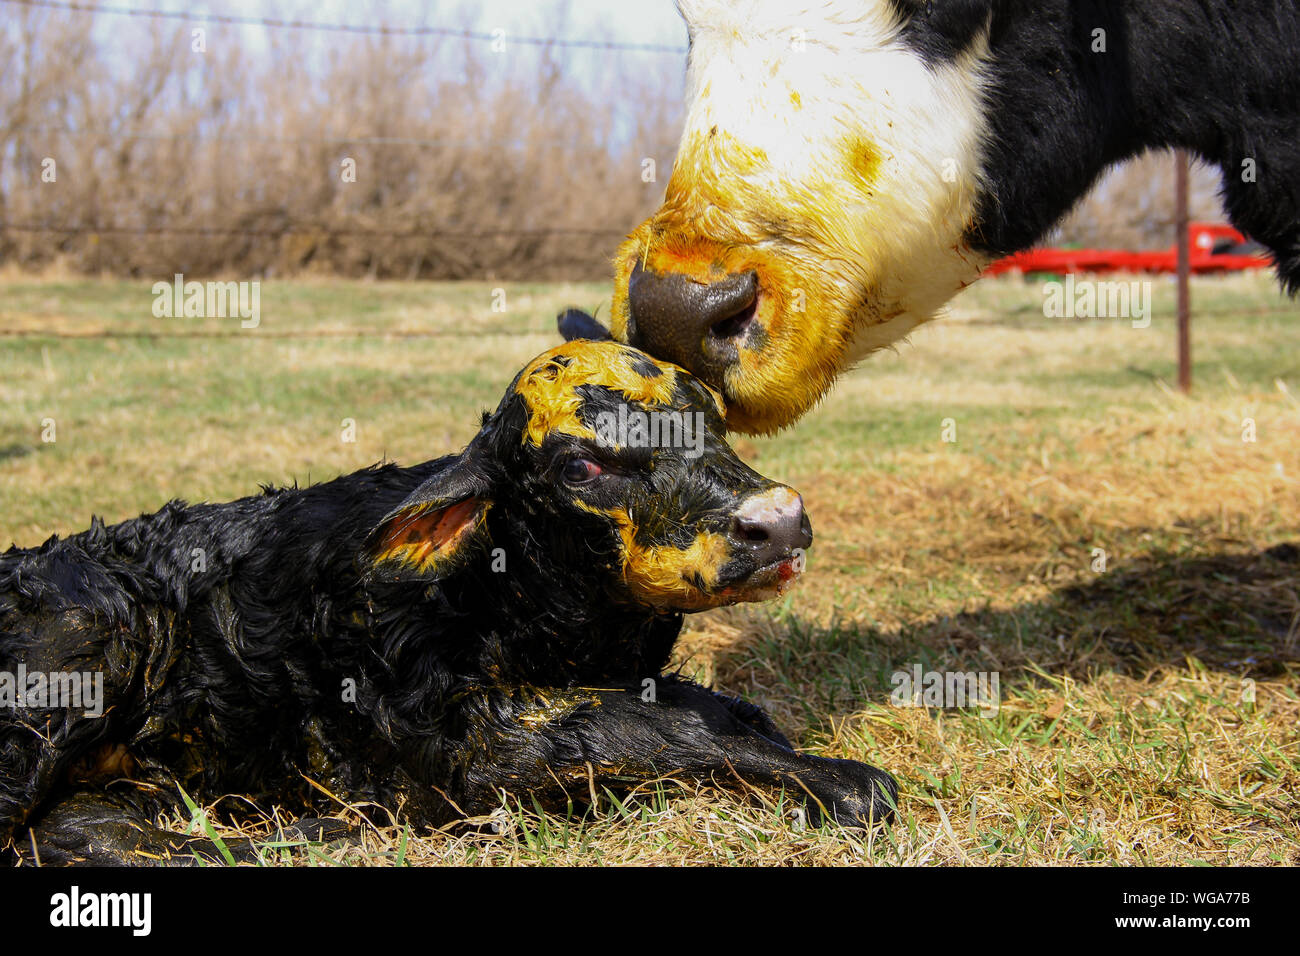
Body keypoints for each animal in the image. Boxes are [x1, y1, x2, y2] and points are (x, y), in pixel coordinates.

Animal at [0, 340, 896, 865]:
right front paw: (848, 784)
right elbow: (651, 727)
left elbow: (722, 709)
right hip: (85, 640)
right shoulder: (465, 744)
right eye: (584, 466)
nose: (778, 520)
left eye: (711, 419)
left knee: (87, 826)